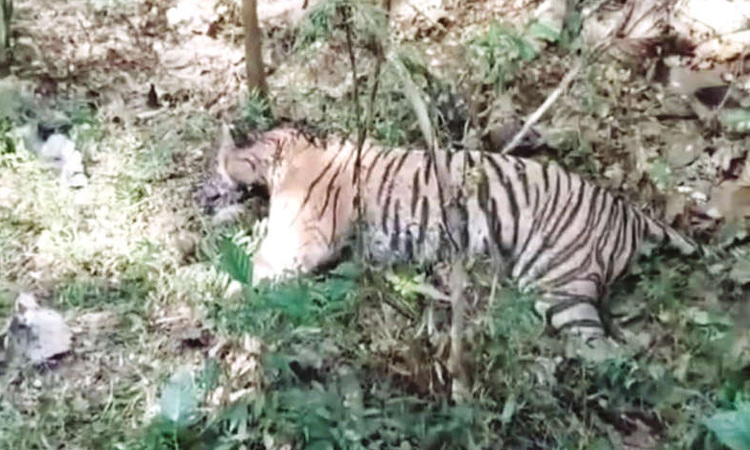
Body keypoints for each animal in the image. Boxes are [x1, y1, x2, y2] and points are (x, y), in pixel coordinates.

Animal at [200, 123, 699, 342]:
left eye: (212, 164)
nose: (200, 193)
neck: (287, 153)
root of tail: (629, 211)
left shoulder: (299, 239)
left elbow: (249, 269)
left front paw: (213, 295)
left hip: (562, 286)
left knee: (603, 351)